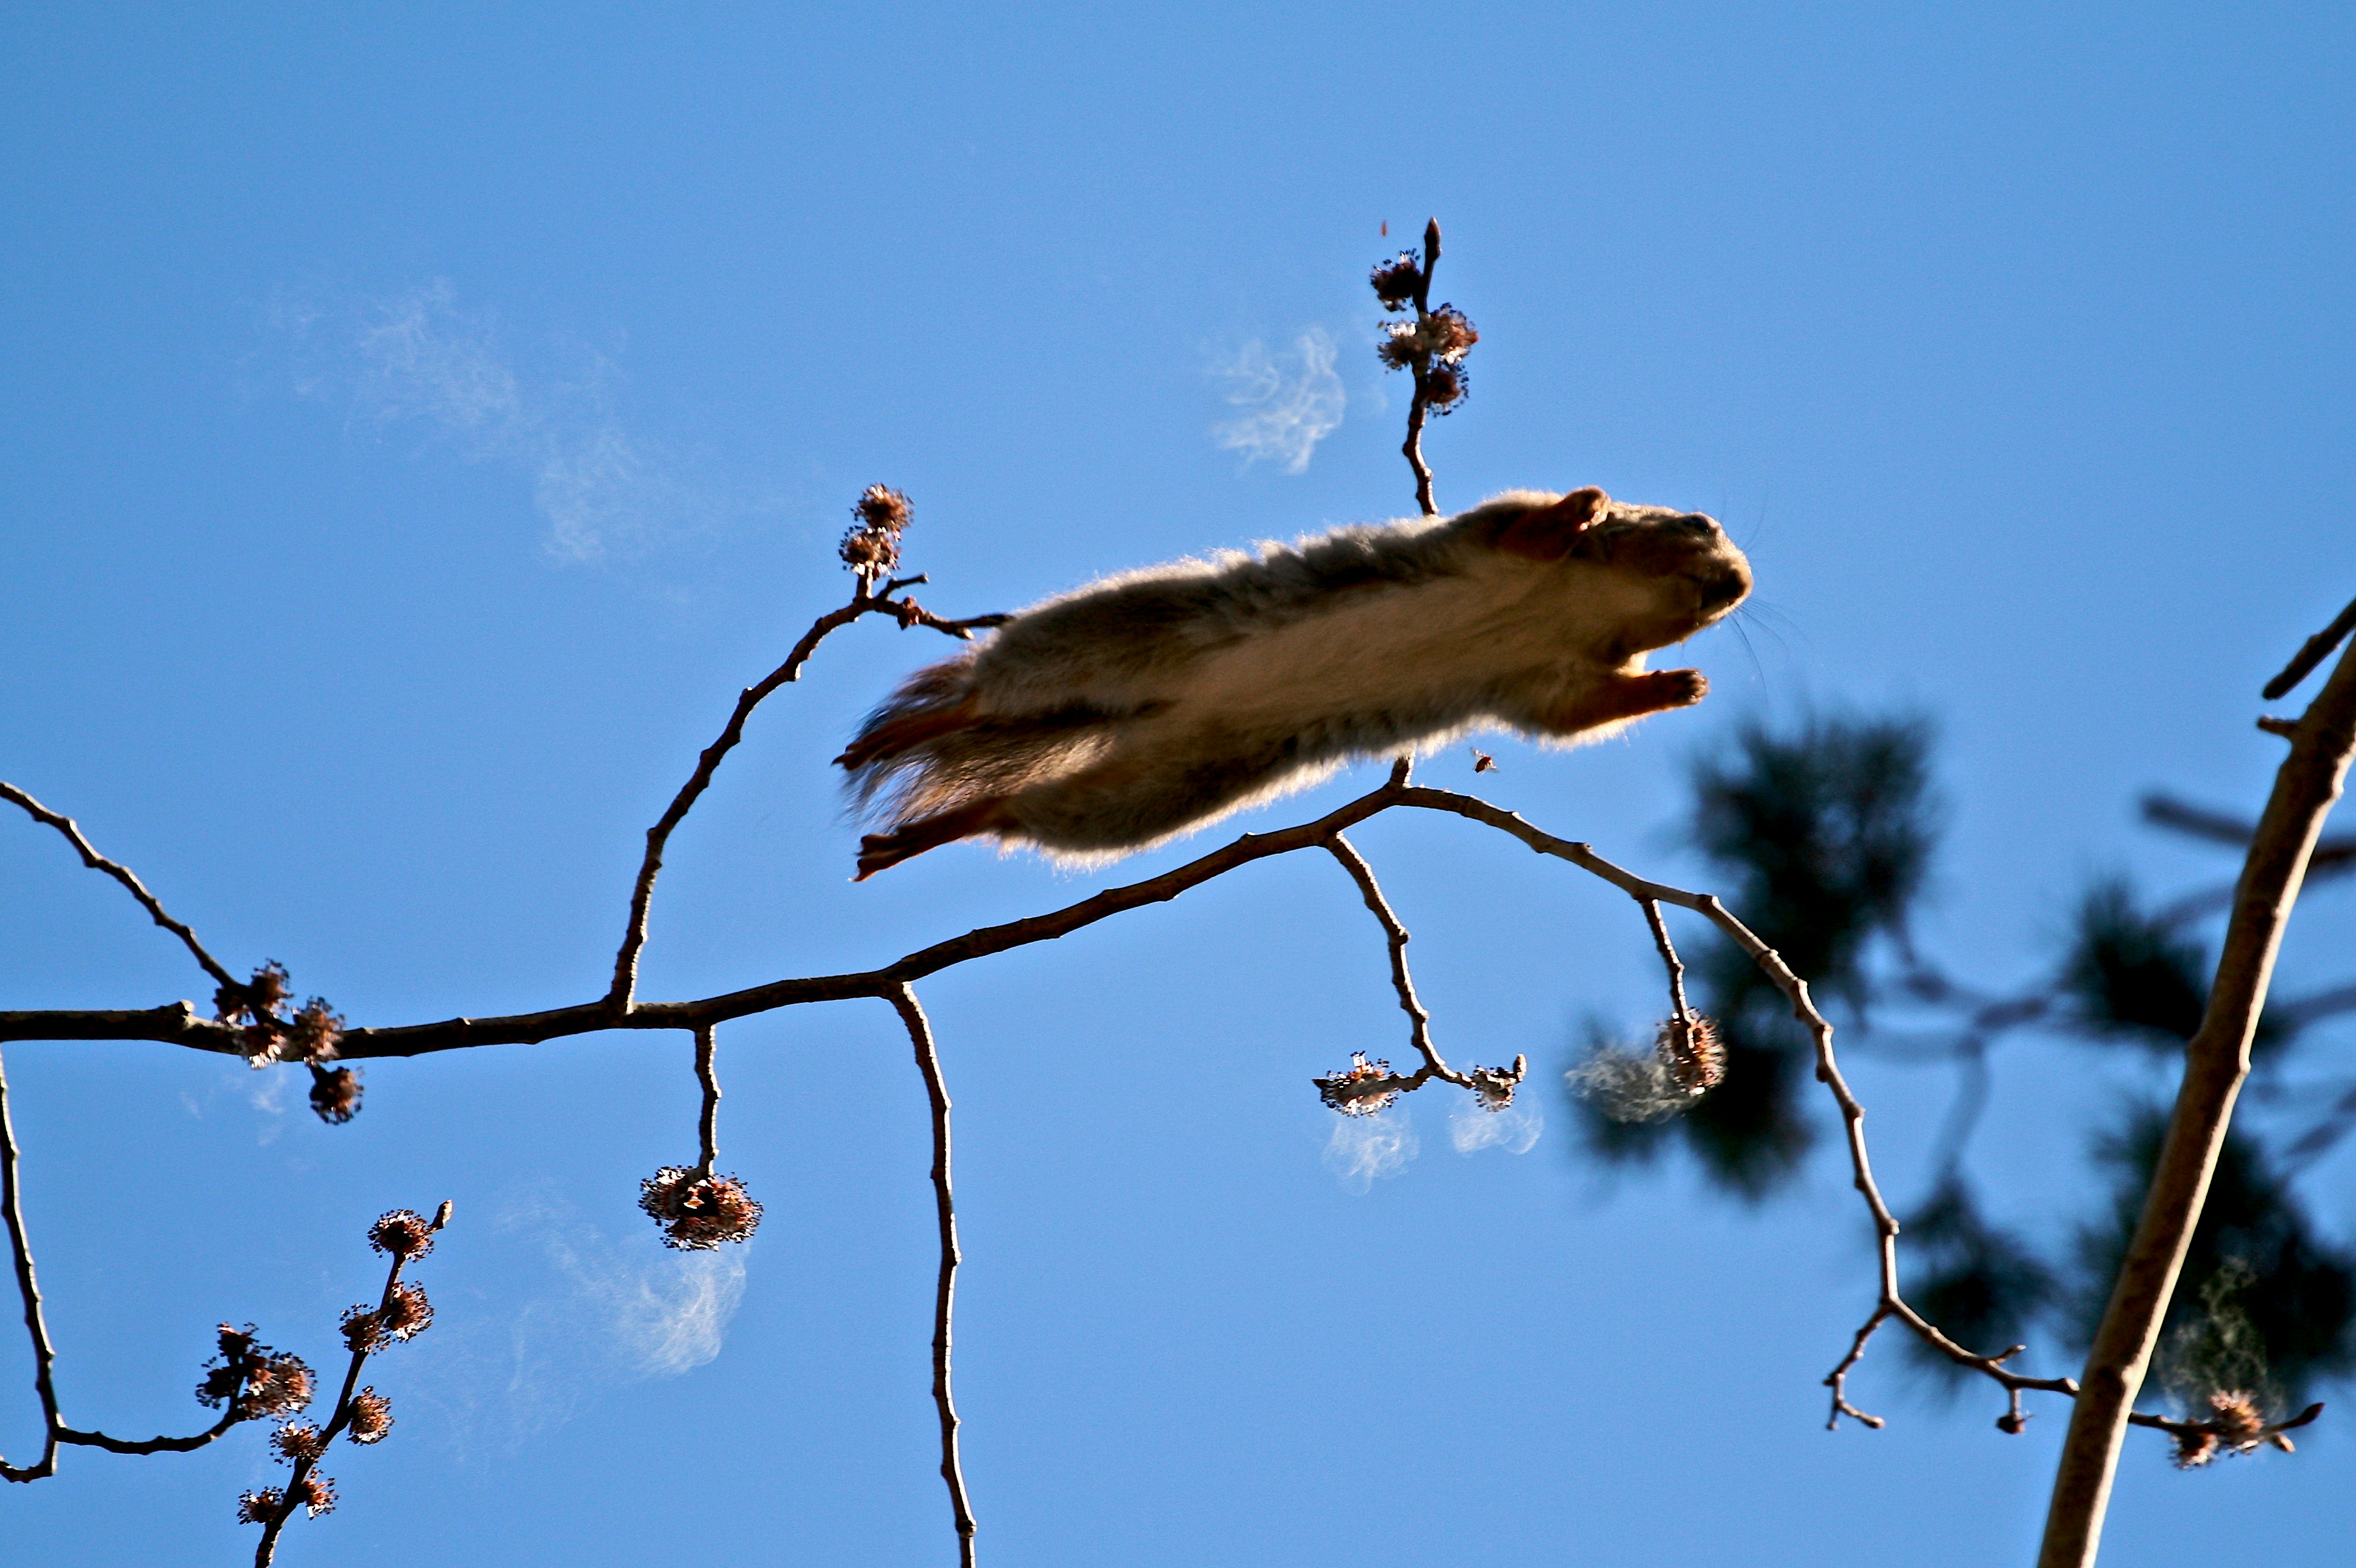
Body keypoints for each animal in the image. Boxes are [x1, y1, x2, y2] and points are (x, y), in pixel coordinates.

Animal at [839, 486, 1751, 878]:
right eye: (1699, 522)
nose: (1737, 586)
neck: (1582, 604)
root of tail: (1152, 712)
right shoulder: (1486, 543)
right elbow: (1523, 527)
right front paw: (1581, 507)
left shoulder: (1544, 677)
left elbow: (1574, 713)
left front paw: (1676, 686)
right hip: (1107, 639)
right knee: (988, 697)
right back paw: (900, 737)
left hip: (1162, 788)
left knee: (1023, 811)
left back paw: (925, 834)